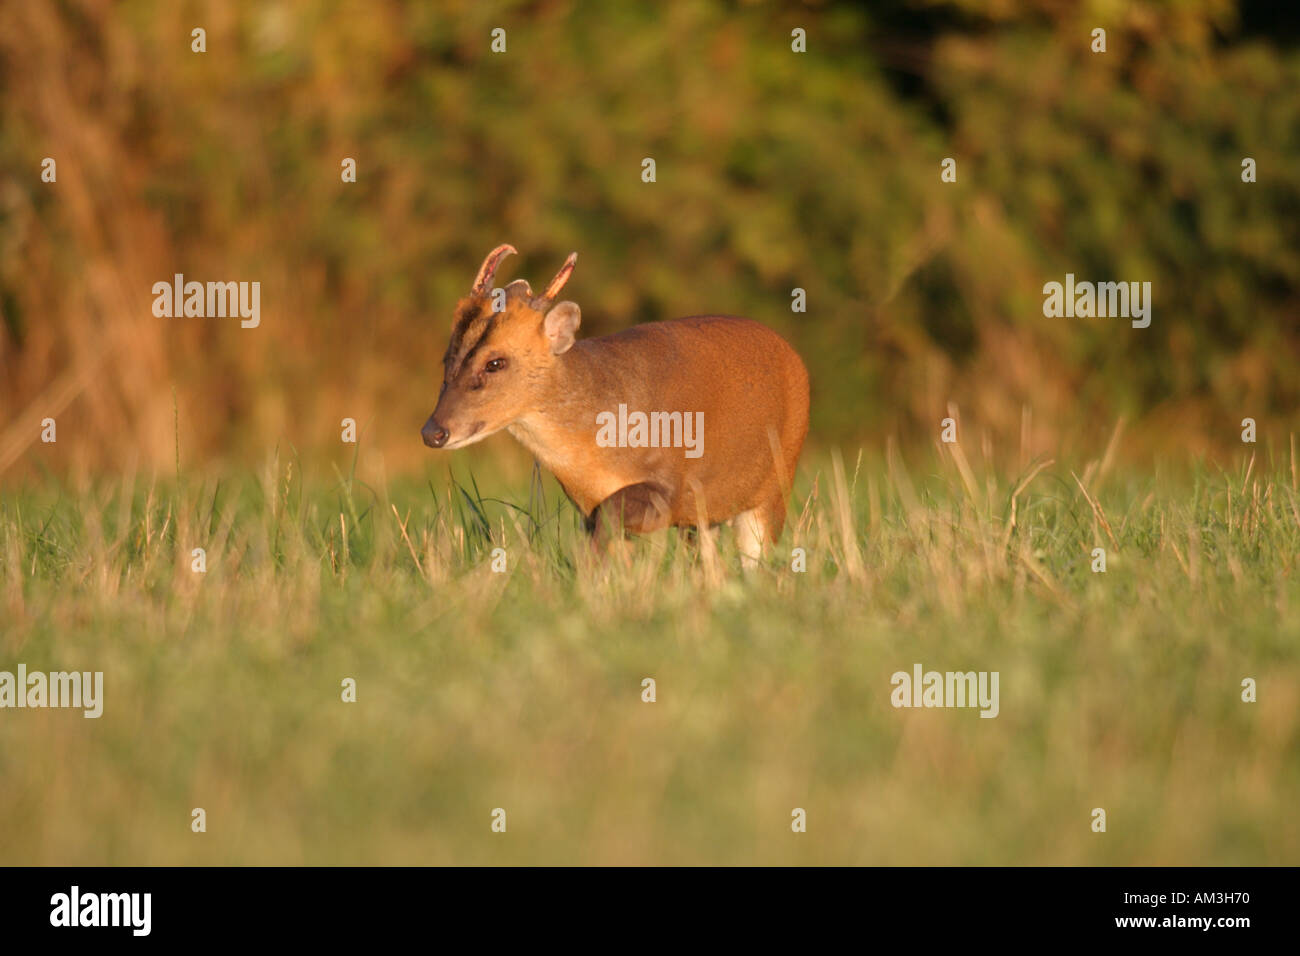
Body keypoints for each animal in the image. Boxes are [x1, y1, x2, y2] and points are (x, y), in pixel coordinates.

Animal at [422, 245, 810, 565]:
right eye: (446, 358)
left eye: (495, 362)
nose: (433, 432)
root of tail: (795, 358)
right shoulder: (590, 504)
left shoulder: (670, 484)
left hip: (775, 484)